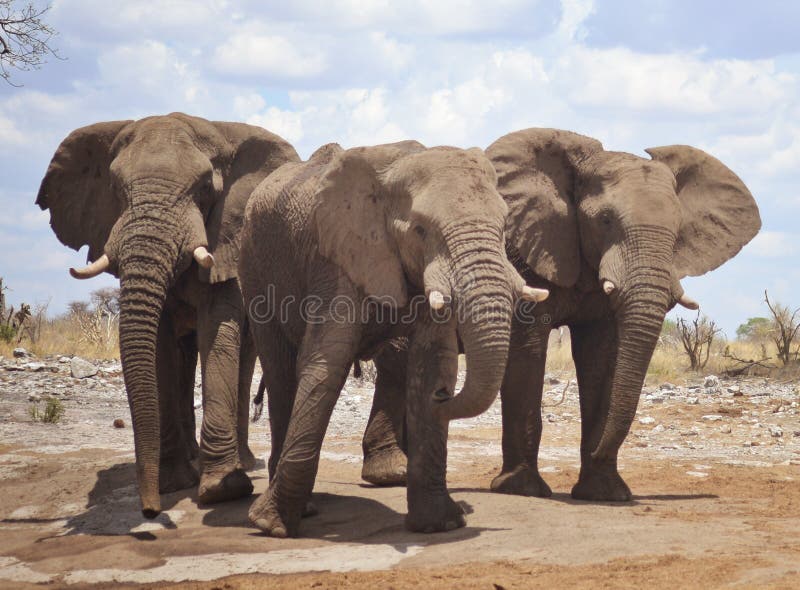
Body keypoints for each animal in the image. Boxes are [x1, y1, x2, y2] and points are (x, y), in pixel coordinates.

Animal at [36, 113, 300, 517]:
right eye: (115, 188)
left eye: (205, 188)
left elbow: (217, 330)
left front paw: (222, 490)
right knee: (184, 356)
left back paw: (242, 461)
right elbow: (159, 344)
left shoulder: (227, 239)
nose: (149, 510)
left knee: (241, 358)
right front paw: (173, 484)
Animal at [238, 140, 548, 537]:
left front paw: (440, 525)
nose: (444, 396)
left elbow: (432, 360)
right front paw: (271, 526)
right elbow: (327, 360)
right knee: (280, 373)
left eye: (503, 227)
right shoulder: (338, 257)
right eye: (420, 230)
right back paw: (297, 512)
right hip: (254, 267)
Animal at [359, 128, 760, 502]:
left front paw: (605, 494)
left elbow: (602, 356)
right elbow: (527, 353)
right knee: (397, 364)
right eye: (604, 221)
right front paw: (522, 490)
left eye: (678, 230)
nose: (598, 452)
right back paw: (390, 473)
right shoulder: (527, 252)